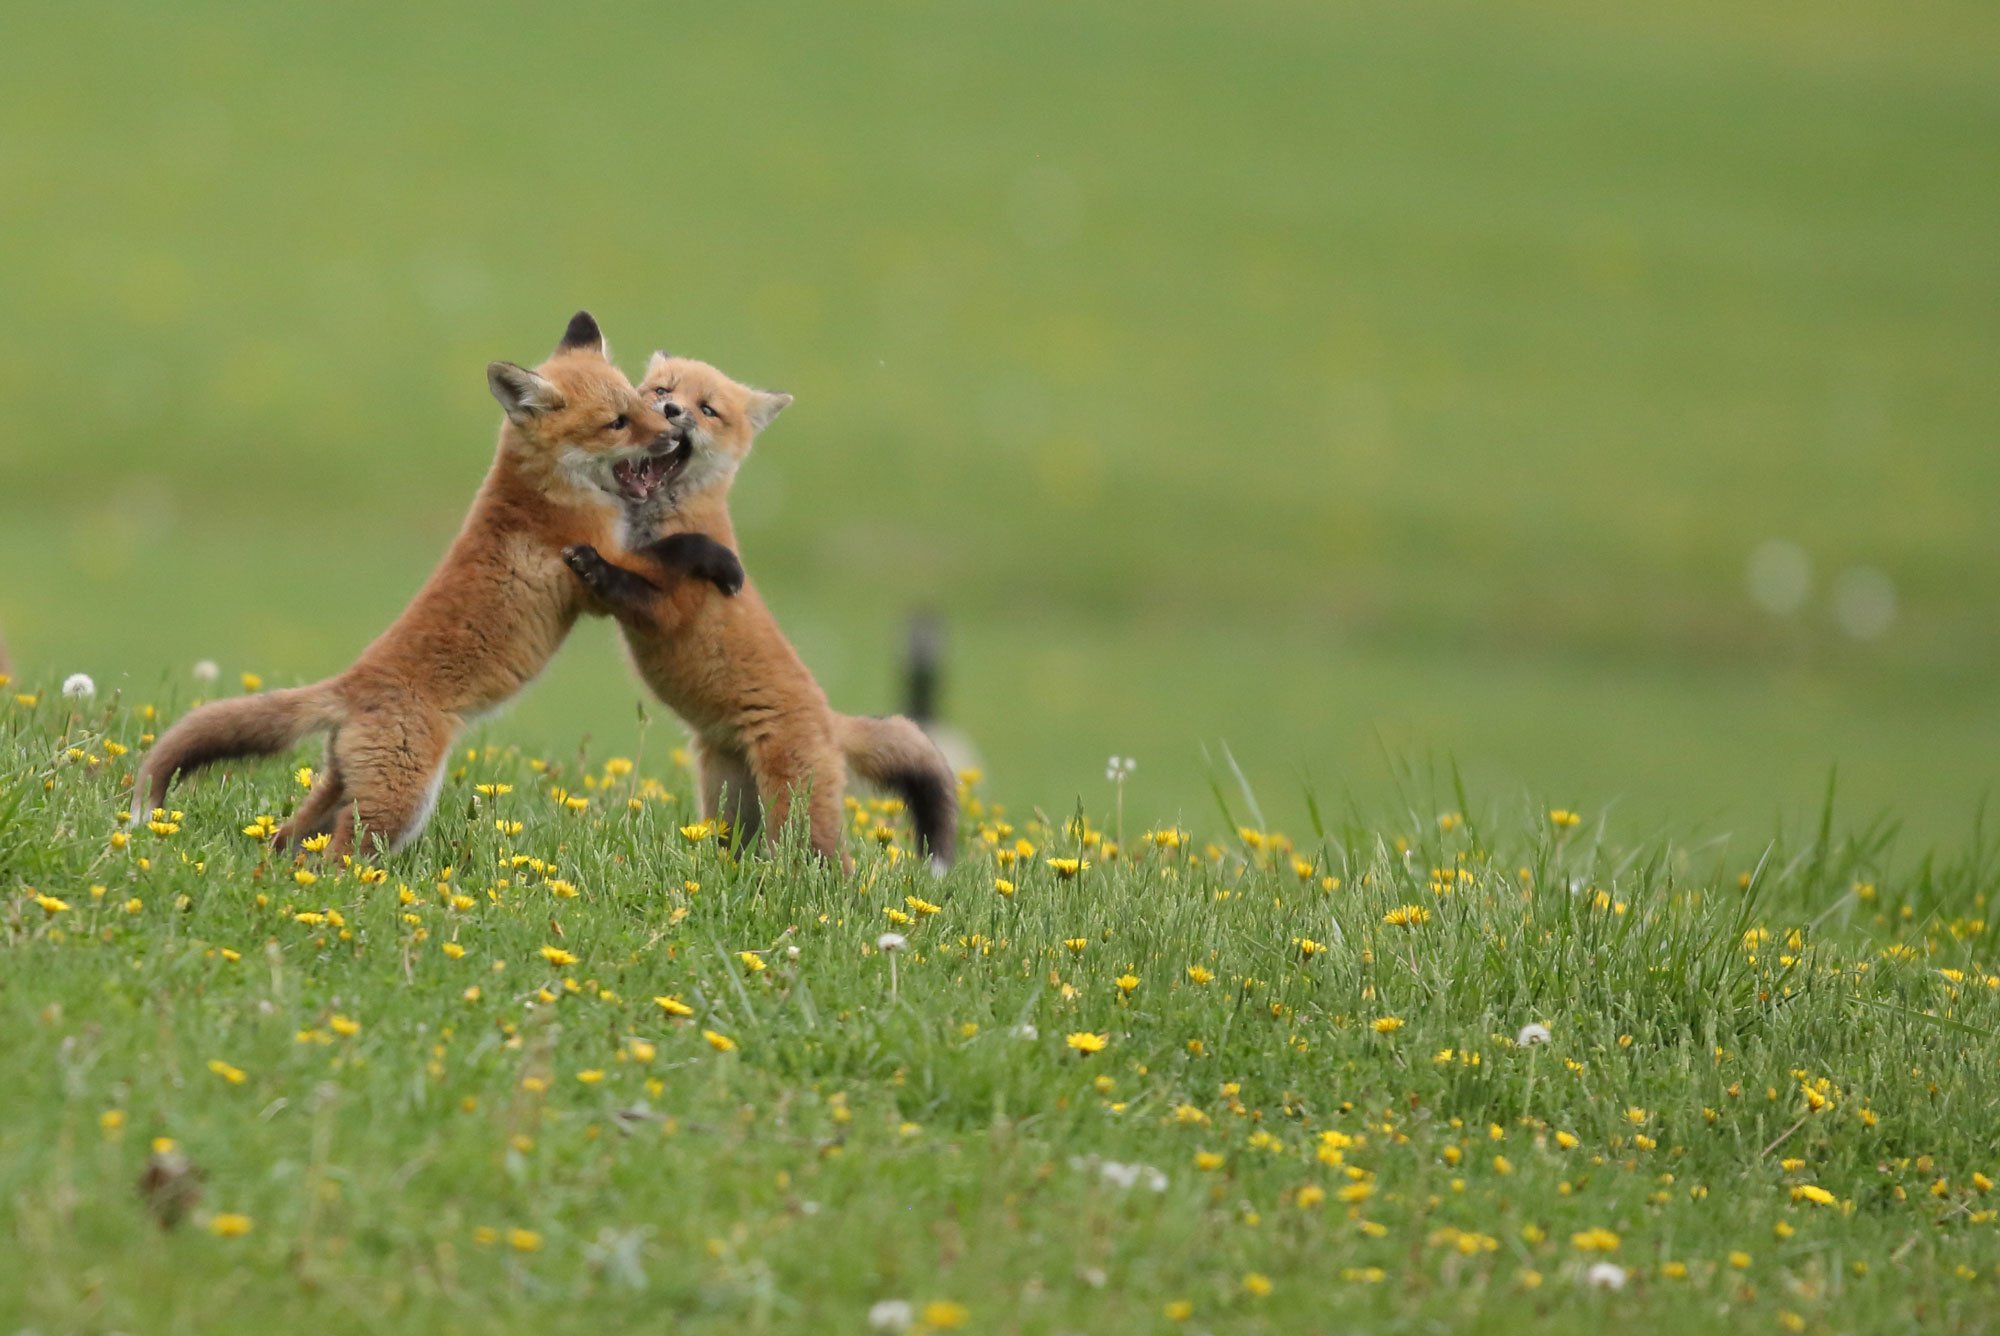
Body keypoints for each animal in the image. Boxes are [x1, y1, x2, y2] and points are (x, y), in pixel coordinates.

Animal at [133, 313, 744, 857]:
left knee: (289, 840)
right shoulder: (593, 569)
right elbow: (676, 550)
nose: (672, 434)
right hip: (400, 805)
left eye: (640, 403)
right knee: (337, 858)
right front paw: (724, 564)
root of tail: (351, 685)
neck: (544, 490)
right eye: (618, 421)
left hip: (343, 791)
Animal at [561, 352, 958, 870]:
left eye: (707, 409)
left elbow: (630, 582)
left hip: (797, 815)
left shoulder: (672, 611)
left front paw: (595, 566)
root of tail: (829, 718)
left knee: (834, 866)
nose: (671, 410)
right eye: (663, 389)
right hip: (728, 802)